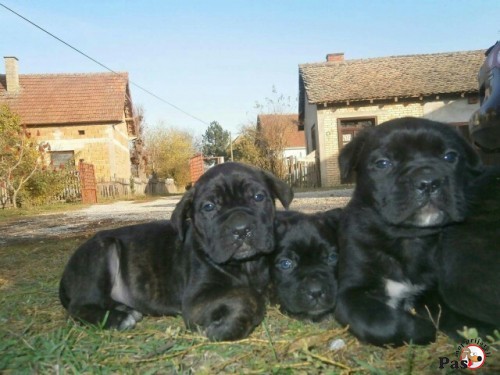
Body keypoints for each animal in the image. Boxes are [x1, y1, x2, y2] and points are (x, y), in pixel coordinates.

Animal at [59, 163, 294, 342]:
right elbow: (246, 294)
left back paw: (124, 310)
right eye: (209, 207)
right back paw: (118, 319)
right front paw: (227, 326)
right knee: (79, 307)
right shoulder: (195, 300)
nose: (241, 229)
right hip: (103, 250)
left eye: (258, 197)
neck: (246, 265)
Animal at [336, 118, 484, 346]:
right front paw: (421, 329)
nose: (428, 181)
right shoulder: (350, 295)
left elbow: (453, 312)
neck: (408, 237)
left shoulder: (432, 289)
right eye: (382, 163)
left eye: (450, 156)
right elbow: (381, 323)